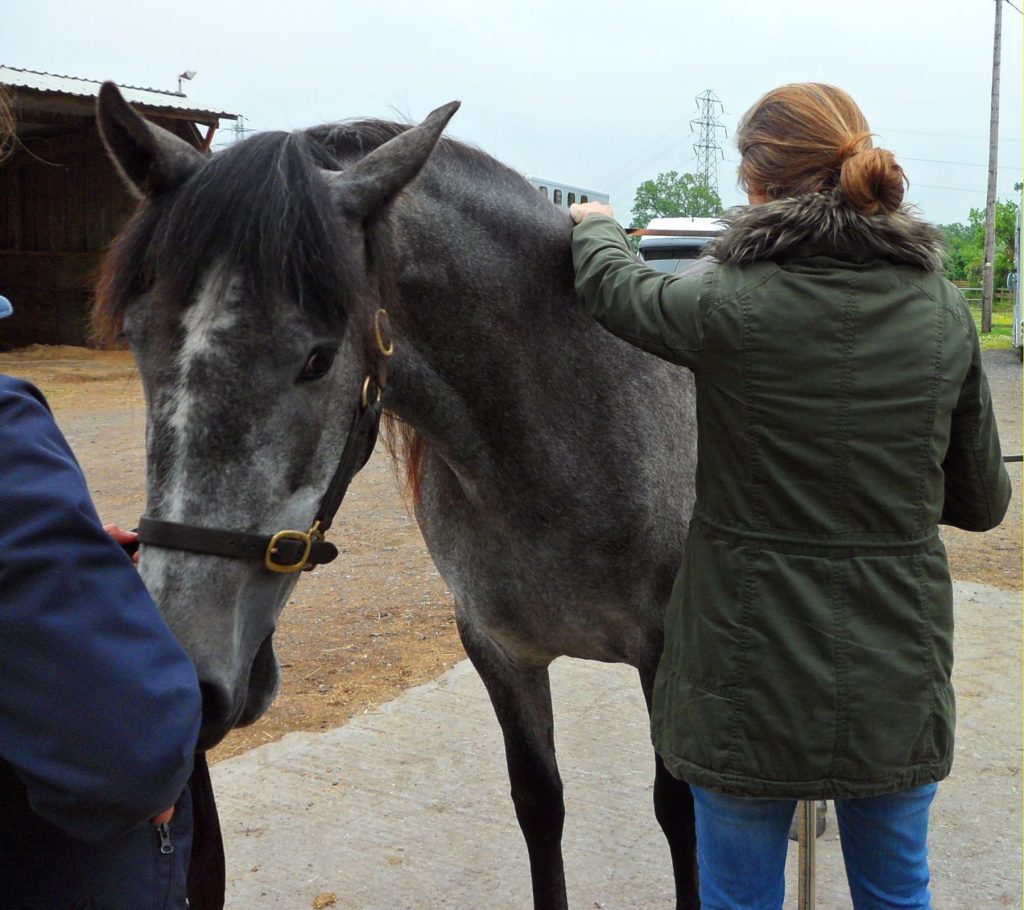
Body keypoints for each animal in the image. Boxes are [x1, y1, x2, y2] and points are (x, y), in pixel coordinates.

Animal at [94, 82, 701, 910]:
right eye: (136, 337)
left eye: (318, 359)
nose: (188, 682)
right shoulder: (499, 651)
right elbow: (540, 806)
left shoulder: (666, 654)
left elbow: (680, 815)